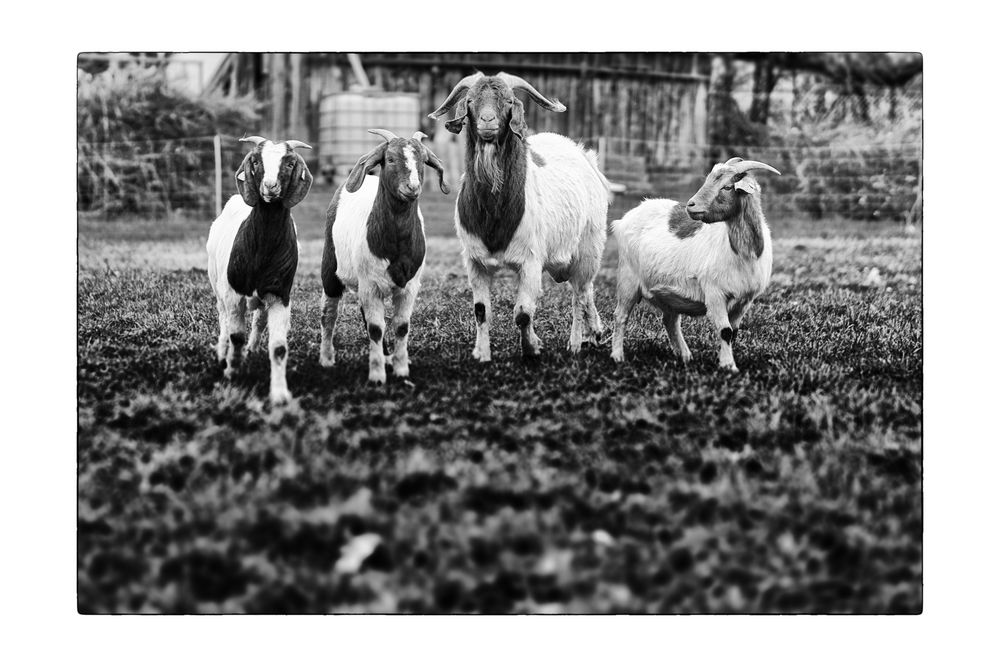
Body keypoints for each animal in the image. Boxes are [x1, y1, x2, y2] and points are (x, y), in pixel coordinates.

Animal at [206, 135, 313, 404]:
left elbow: (279, 348)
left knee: (259, 321)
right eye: (255, 161)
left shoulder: (280, 295)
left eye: (289, 163)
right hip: (217, 284)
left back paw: (252, 350)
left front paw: (280, 394)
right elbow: (236, 336)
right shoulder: (233, 293)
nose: (270, 186)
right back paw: (223, 352)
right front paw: (232, 371)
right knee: (223, 319)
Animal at [319, 129, 449, 384]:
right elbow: (376, 329)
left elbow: (401, 327)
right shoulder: (371, 285)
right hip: (331, 264)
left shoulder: (409, 286)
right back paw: (326, 358)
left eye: (422, 161)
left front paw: (400, 368)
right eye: (389, 159)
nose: (412, 188)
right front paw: (377, 375)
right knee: (329, 312)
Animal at [428, 72, 610, 361]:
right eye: (470, 100)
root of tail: (585, 156)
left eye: (509, 100)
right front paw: (482, 353)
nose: (487, 121)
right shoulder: (475, 261)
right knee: (586, 290)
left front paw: (532, 348)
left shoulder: (530, 261)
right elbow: (481, 311)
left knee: (579, 295)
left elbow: (523, 313)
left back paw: (575, 343)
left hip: (589, 246)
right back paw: (596, 333)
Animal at [610, 157, 781, 371]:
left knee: (670, 321)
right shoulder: (715, 293)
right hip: (628, 277)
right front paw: (729, 366)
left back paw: (685, 356)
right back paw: (617, 356)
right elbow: (725, 331)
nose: (691, 205)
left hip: (667, 292)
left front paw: (727, 363)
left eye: (727, 187)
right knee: (621, 316)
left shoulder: (745, 300)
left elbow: (733, 332)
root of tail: (626, 218)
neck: (743, 253)